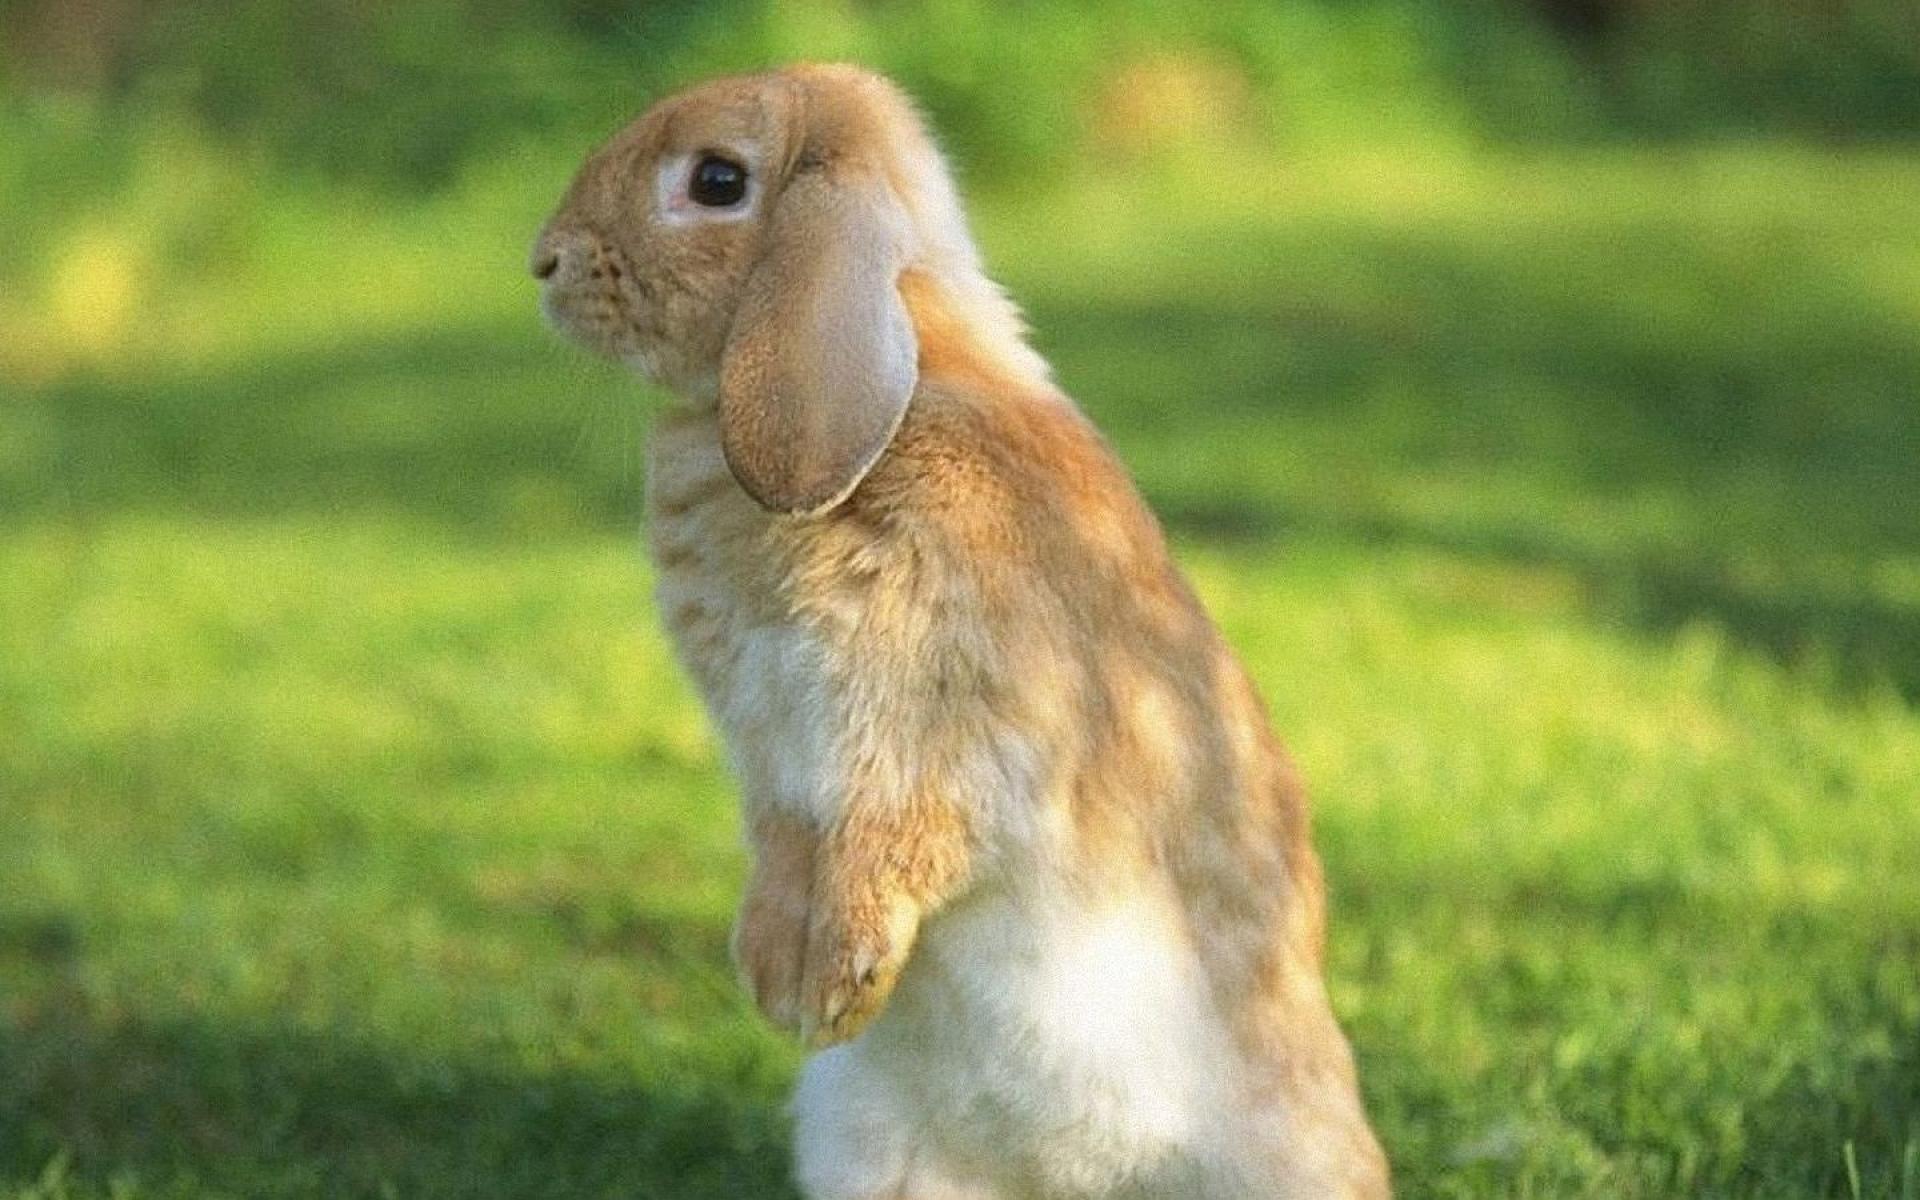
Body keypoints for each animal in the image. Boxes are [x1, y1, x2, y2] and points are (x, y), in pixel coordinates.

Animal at [532, 63, 1390, 1200]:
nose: (544, 261)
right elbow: (786, 847)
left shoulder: (949, 735)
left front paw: (834, 987)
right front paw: (775, 980)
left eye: (717, 180)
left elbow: (895, 840)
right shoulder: (775, 756)